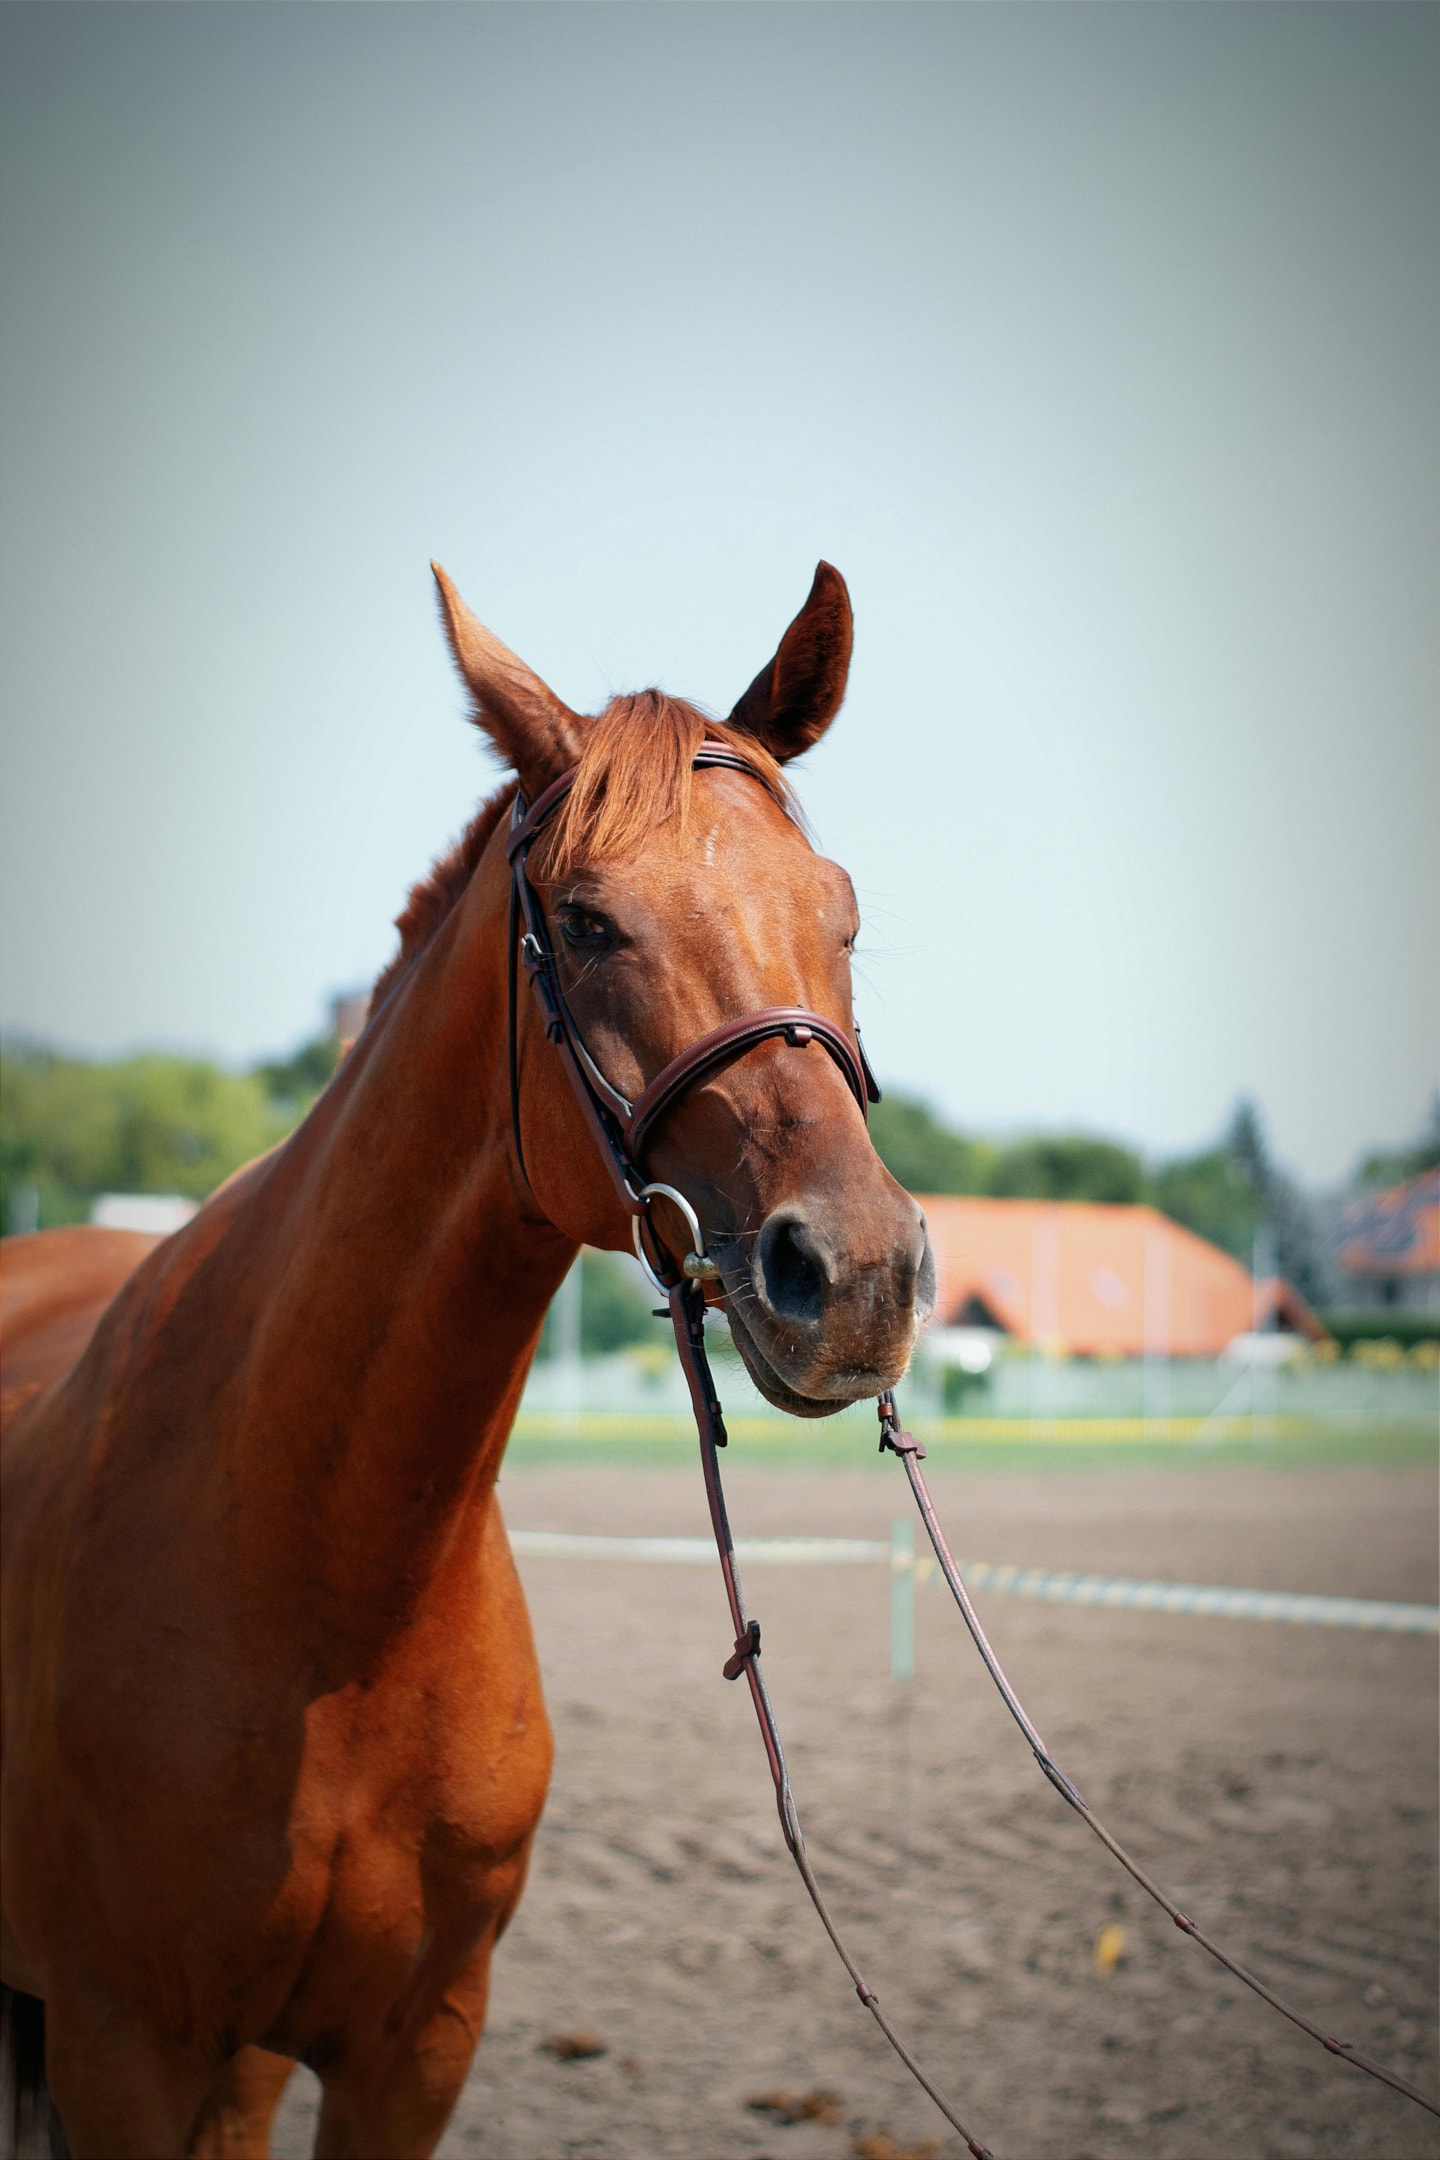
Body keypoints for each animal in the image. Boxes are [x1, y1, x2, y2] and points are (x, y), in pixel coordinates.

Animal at [0, 561, 935, 2159]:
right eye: (590, 921)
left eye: (845, 915)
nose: (860, 1272)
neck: (333, 1587)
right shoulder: (122, 2047)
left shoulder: (412, 2047)